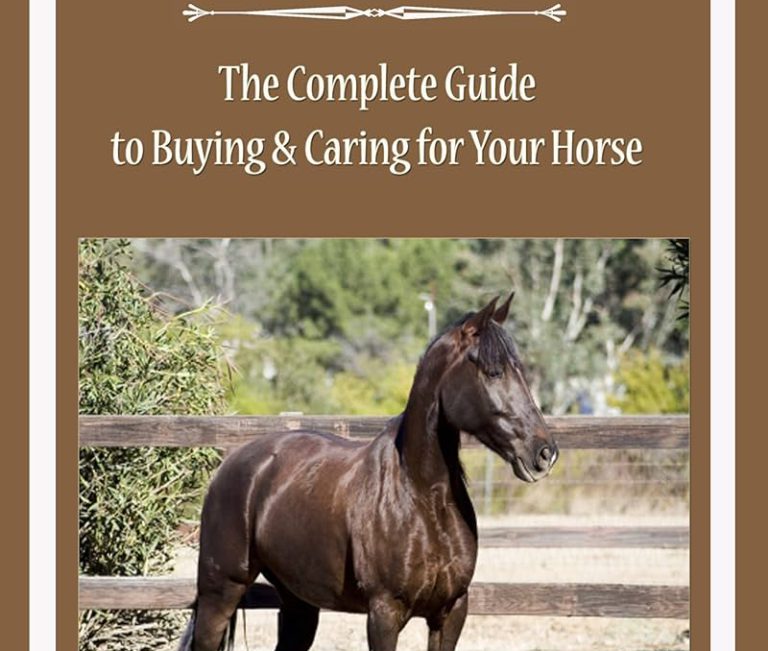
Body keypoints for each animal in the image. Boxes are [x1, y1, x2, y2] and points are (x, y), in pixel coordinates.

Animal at [179, 293, 559, 651]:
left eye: (520, 370)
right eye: (494, 372)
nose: (544, 453)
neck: (423, 497)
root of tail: (235, 464)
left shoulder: (451, 612)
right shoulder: (384, 612)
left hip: (298, 602)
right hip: (220, 591)